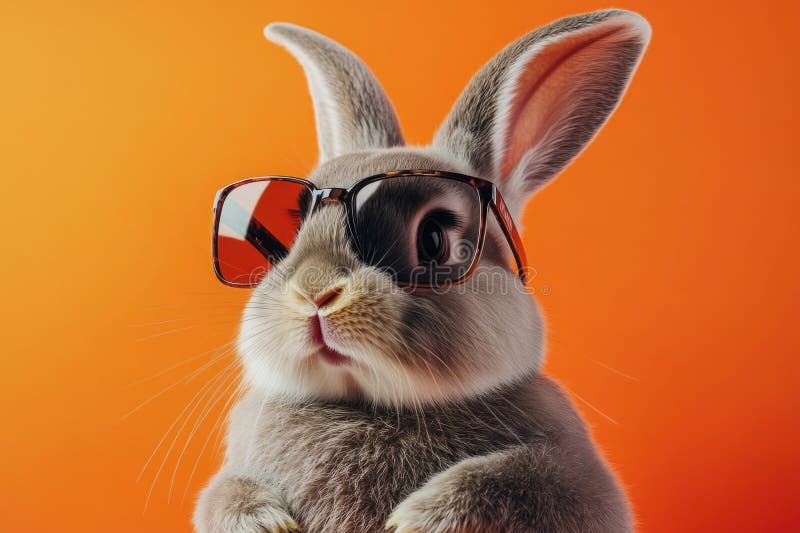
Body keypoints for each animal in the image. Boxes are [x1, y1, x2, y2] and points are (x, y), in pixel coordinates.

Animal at [194, 8, 650, 533]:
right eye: (287, 237)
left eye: (433, 240)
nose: (315, 292)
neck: (369, 406)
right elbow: (221, 493)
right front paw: (266, 522)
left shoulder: (574, 475)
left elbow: (519, 478)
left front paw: (414, 521)